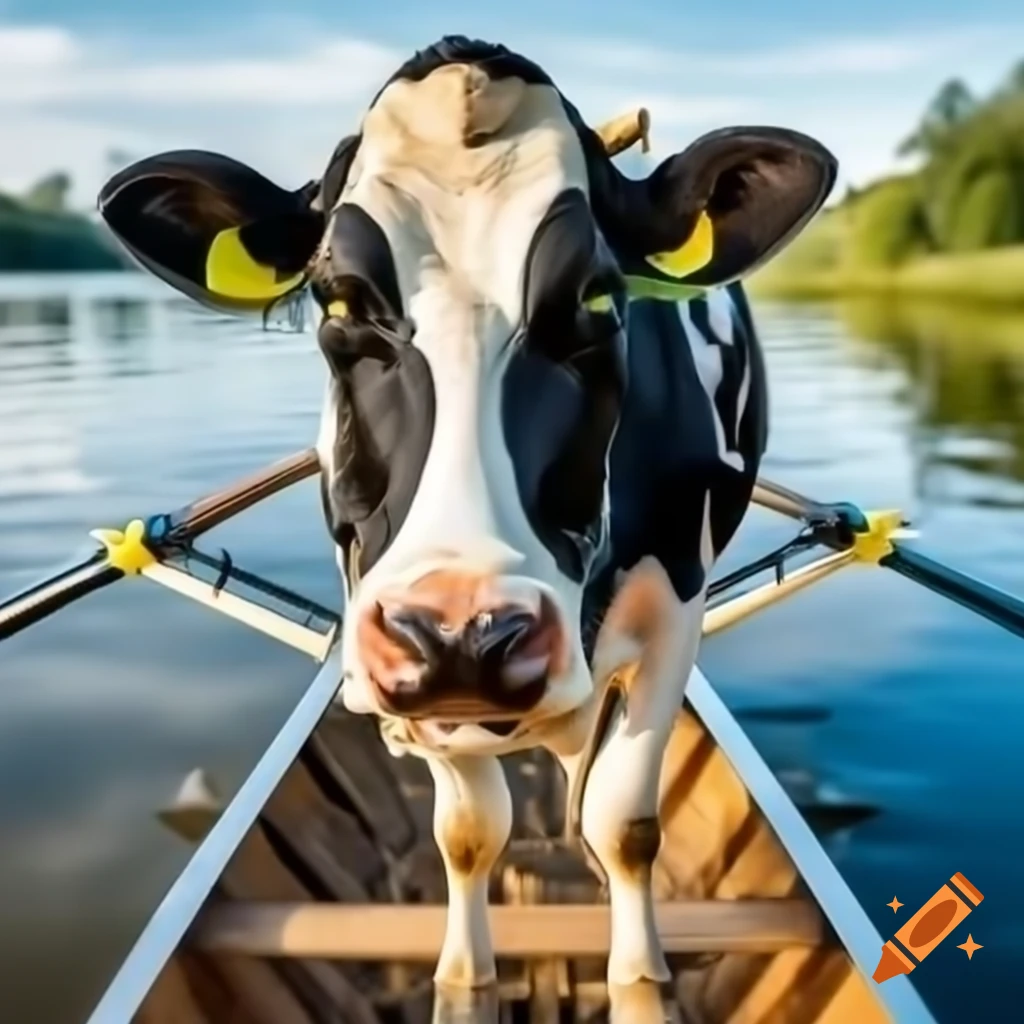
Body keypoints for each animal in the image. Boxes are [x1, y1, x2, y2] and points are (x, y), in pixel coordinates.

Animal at [98, 34, 835, 1009]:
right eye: (339, 303)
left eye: (598, 300)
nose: (463, 631)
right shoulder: (409, 671)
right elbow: (468, 832)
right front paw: (464, 973)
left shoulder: (677, 607)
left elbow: (626, 823)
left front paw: (640, 975)